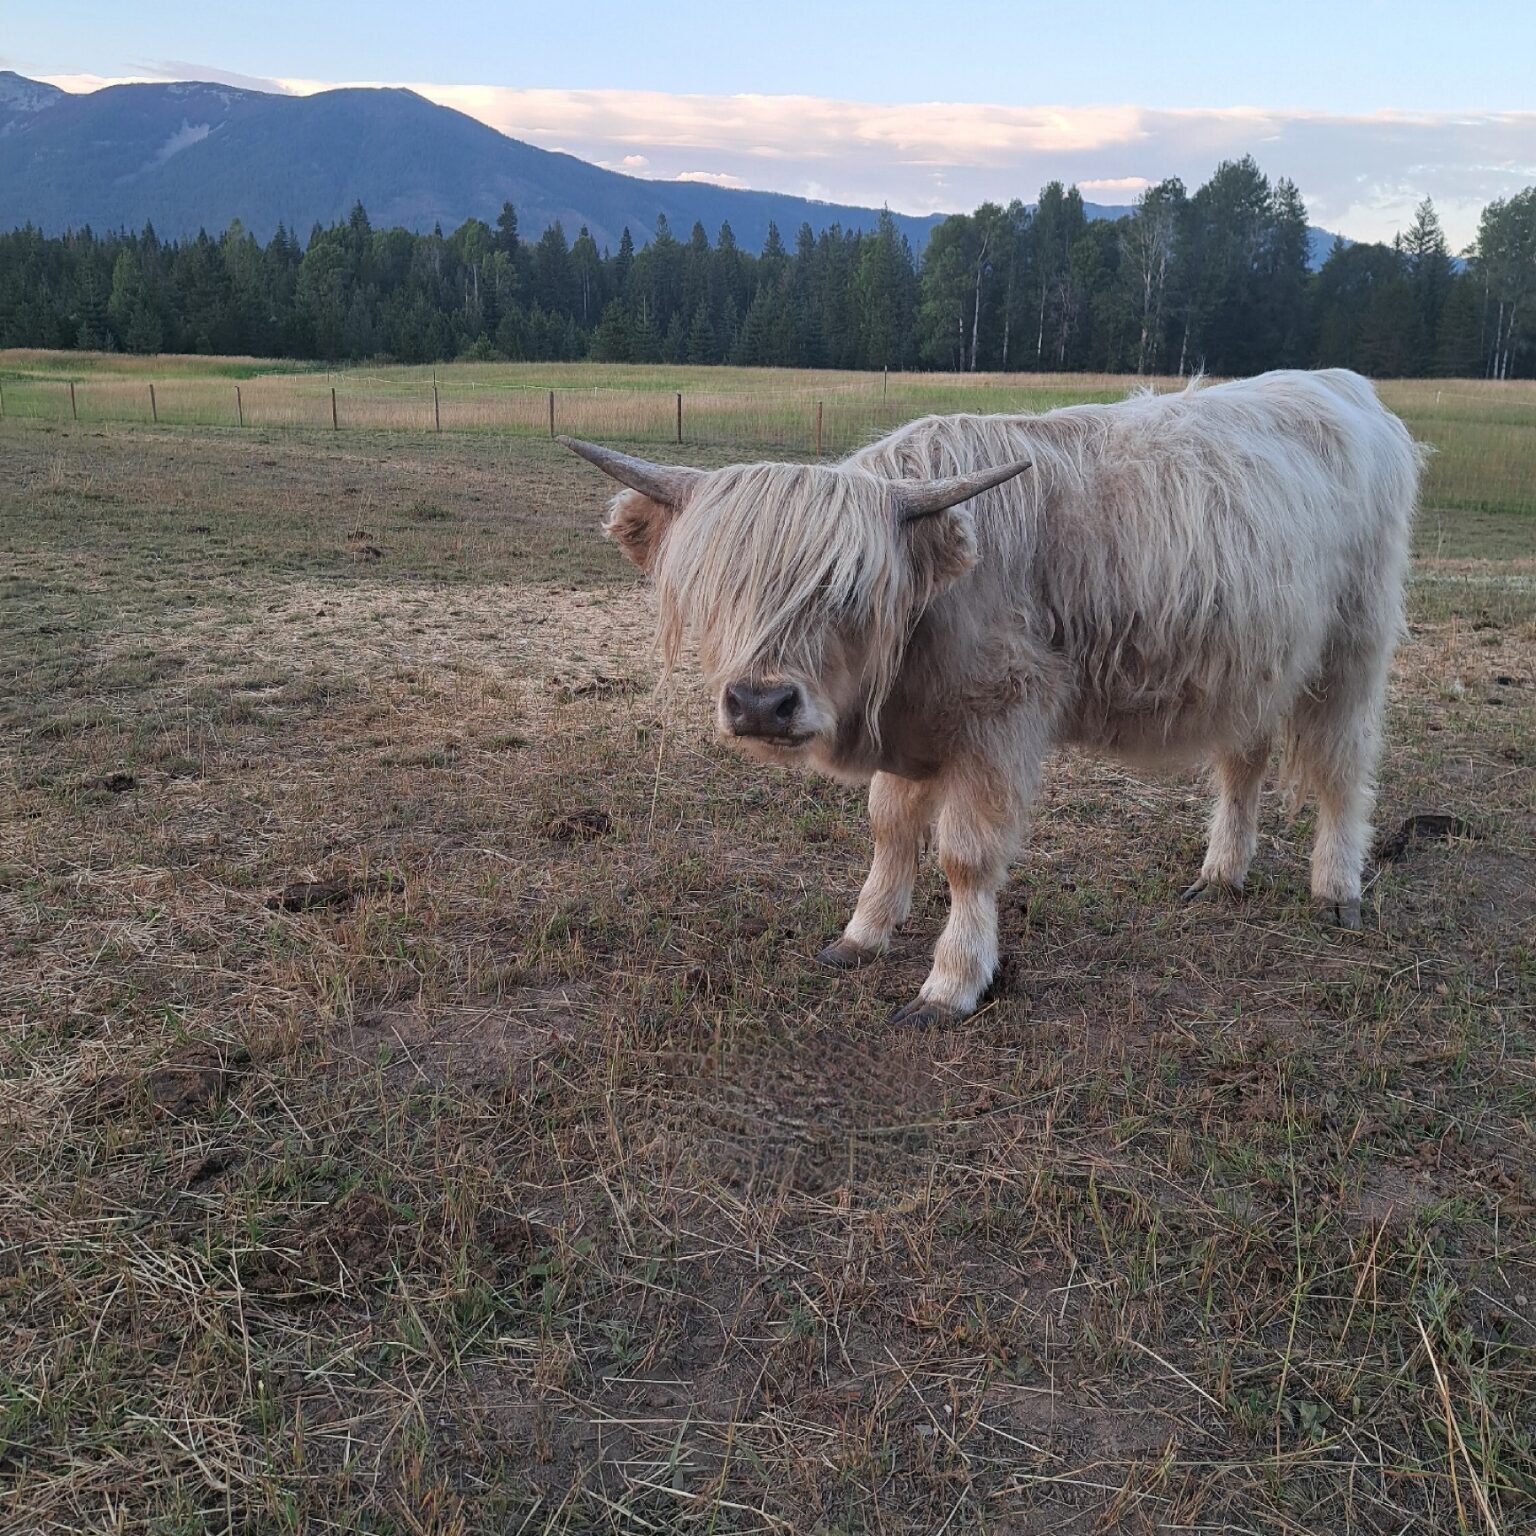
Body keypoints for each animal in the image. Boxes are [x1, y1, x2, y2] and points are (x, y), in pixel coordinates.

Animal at [560, 369, 1423, 1026]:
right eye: (716, 589)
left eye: (846, 593)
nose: (760, 704)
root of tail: (1342, 386)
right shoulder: (913, 727)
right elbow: (889, 830)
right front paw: (863, 933)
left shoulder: (999, 722)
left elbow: (964, 857)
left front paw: (951, 982)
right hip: (1254, 664)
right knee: (1243, 763)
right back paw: (1220, 874)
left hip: (1351, 649)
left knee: (1344, 771)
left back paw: (1336, 888)